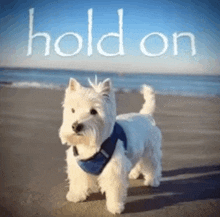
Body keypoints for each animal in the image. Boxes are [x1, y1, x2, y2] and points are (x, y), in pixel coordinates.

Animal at [58, 77, 162, 214]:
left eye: (93, 111)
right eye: (73, 110)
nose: (76, 126)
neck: (89, 144)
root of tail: (145, 115)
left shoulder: (114, 169)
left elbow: (114, 190)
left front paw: (115, 206)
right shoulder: (77, 166)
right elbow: (78, 181)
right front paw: (76, 195)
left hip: (150, 150)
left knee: (152, 166)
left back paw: (152, 181)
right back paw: (134, 173)